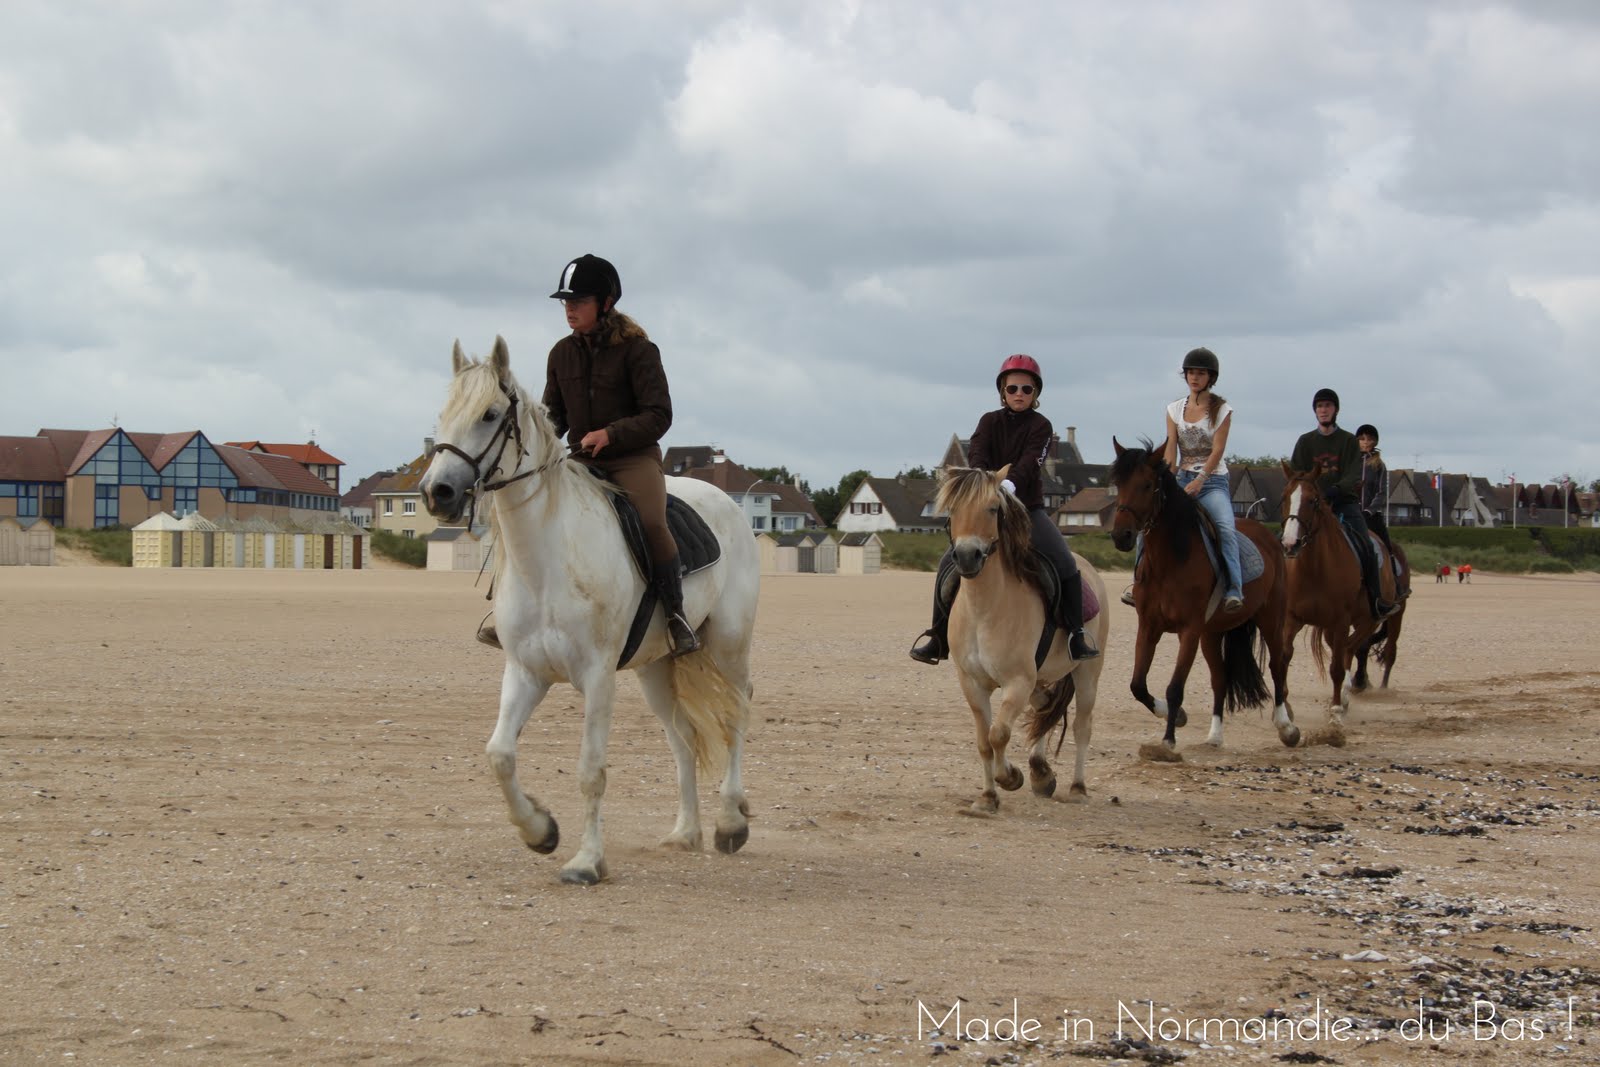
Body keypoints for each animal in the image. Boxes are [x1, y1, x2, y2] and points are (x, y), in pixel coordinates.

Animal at [420, 337, 760, 885]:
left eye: (490, 414)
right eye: (444, 413)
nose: (437, 493)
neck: (546, 560)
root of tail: (726, 502)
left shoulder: (598, 677)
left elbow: (591, 771)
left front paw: (585, 861)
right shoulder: (526, 672)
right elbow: (500, 755)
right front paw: (540, 831)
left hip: (729, 645)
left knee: (736, 716)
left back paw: (731, 823)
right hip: (656, 668)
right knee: (683, 738)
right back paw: (685, 832)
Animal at [938, 465, 1109, 815]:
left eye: (993, 508)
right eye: (953, 509)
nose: (967, 556)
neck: (985, 607)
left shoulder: (1017, 681)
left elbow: (999, 734)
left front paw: (1009, 777)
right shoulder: (972, 683)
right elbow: (983, 741)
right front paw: (988, 797)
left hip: (1086, 673)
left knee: (1082, 726)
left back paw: (1077, 788)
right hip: (1039, 677)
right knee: (1044, 709)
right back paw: (1041, 773)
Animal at [1108, 440, 1298, 757]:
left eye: (1147, 485)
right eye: (1118, 483)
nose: (1121, 535)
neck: (1170, 560)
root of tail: (1267, 535)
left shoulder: (1189, 630)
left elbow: (1175, 687)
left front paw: (1168, 741)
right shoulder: (1149, 627)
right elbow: (1138, 685)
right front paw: (1175, 717)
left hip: (1271, 617)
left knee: (1277, 666)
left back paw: (1286, 728)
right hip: (1212, 633)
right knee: (1220, 678)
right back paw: (1214, 737)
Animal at [1279, 463, 1402, 737]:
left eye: (1313, 501)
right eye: (1285, 498)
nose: (1290, 543)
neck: (1314, 569)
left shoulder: (1341, 621)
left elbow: (1337, 665)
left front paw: (1336, 711)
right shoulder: (1291, 619)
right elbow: (1283, 657)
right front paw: (1286, 707)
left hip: (1368, 620)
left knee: (1350, 648)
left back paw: (1345, 695)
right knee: (1347, 648)